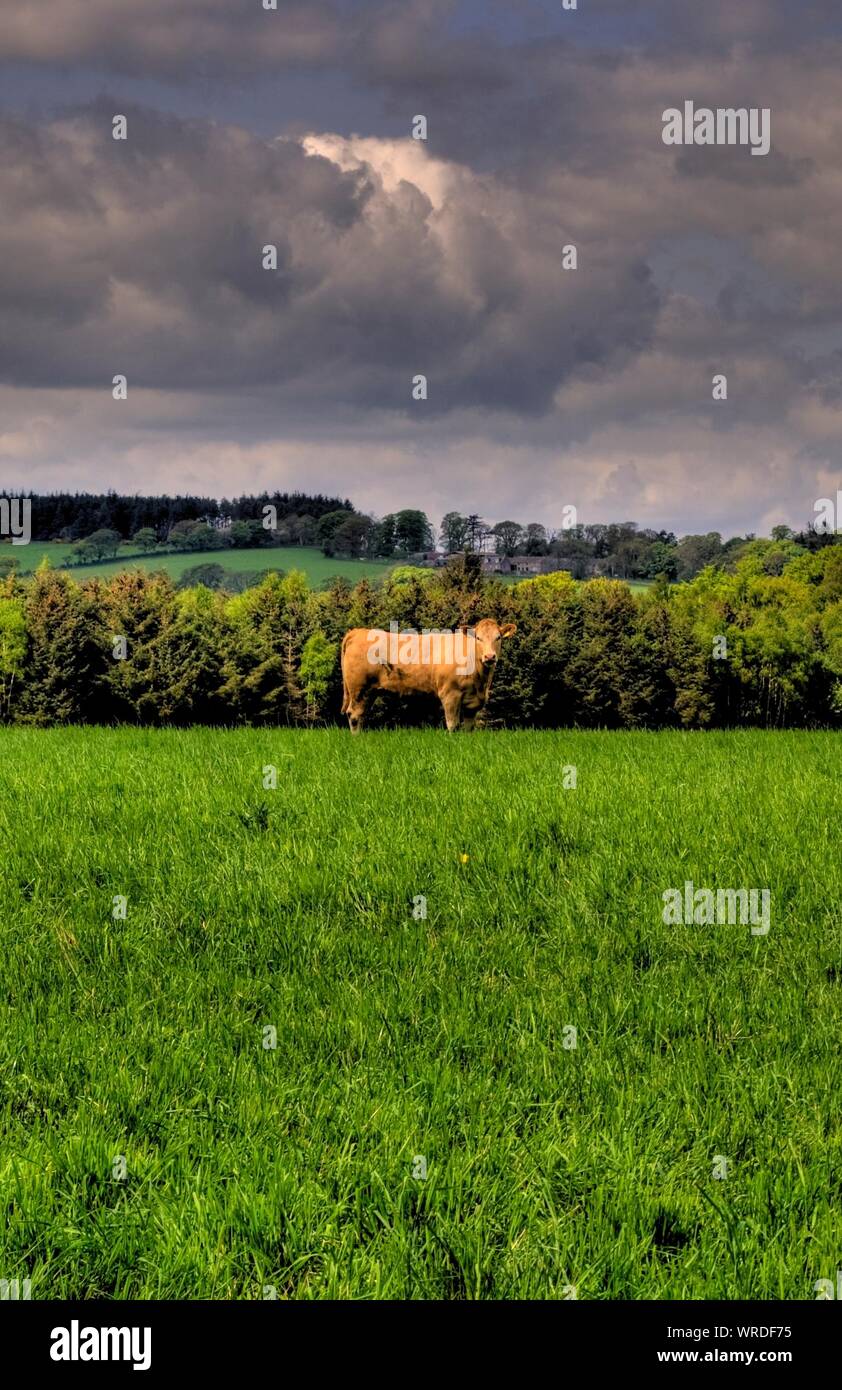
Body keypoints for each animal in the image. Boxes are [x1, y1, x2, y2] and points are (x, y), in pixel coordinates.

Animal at [340, 618, 517, 732]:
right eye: (478, 638)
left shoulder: (473, 703)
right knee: (354, 715)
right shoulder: (450, 695)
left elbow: (468, 729)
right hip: (359, 688)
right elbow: (453, 725)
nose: (490, 656)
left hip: (370, 691)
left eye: (498, 637)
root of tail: (357, 632)